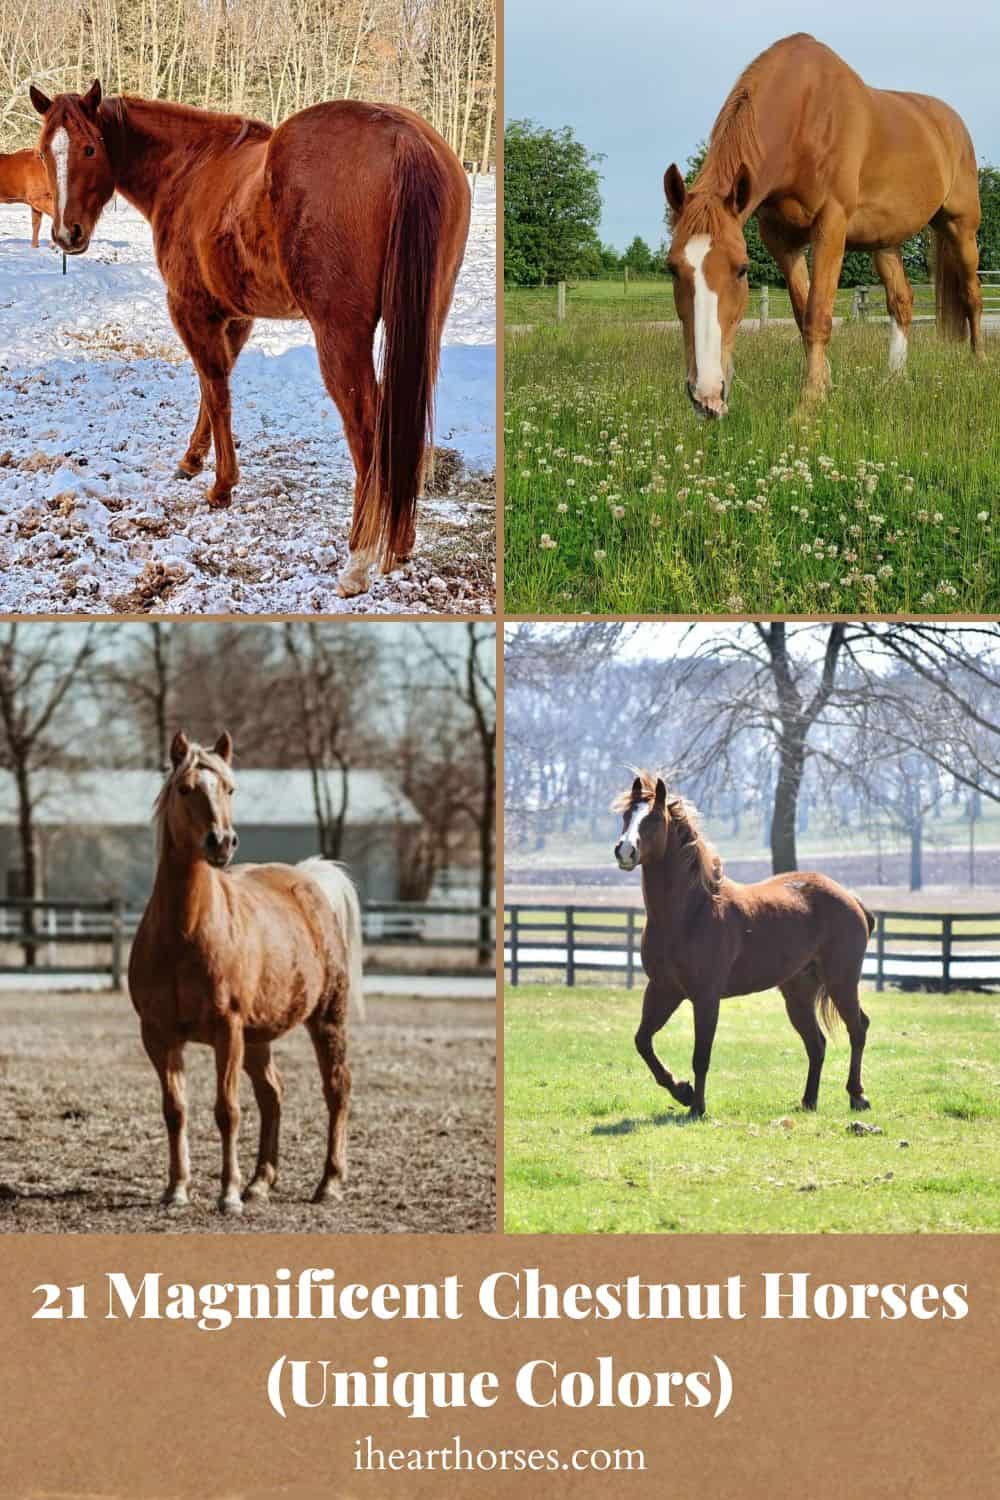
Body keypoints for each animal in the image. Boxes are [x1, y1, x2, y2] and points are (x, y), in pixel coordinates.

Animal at [29, 80, 470, 598]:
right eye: (43, 152)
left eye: (90, 147)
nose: (66, 234)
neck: (191, 167)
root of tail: (403, 136)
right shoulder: (235, 318)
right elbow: (212, 388)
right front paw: (192, 460)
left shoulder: (189, 309)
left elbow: (216, 390)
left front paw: (221, 486)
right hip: (424, 325)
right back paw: (399, 545)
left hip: (341, 337)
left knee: (368, 432)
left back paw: (358, 559)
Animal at [128, 730, 364, 1214]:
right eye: (186, 789)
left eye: (230, 789)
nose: (221, 841)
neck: (186, 932)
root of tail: (309, 881)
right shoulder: (158, 1035)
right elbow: (175, 1109)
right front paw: (177, 1189)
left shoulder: (227, 1029)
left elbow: (227, 1111)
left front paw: (228, 1195)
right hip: (259, 1036)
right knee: (272, 1094)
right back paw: (261, 1182)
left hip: (326, 1019)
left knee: (337, 1088)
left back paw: (329, 1182)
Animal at [613, 773, 875, 1118]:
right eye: (627, 815)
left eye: (654, 818)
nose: (625, 850)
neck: (689, 911)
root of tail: (851, 899)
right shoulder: (663, 989)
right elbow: (642, 1041)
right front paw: (682, 1091)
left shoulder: (705, 997)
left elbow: (701, 1056)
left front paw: (696, 1107)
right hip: (798, 992)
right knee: (816, 1043)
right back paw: (808, 1101)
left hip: (841, 981)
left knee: (857, 1029)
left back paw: (857, 1096)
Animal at [663, 33, 982, 417]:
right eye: (672, 268)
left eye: (741, 270)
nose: (706, 395)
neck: (804, 116)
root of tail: (952, 122)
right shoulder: (781, 241)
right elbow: (803, 315)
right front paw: (825, 385)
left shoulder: (831, 226)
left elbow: (818, 315)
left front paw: (808, 405)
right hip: (884, 242)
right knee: (901, 302)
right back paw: (893, 381)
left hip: (962, 229)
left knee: (972, 296)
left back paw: (979, 364)